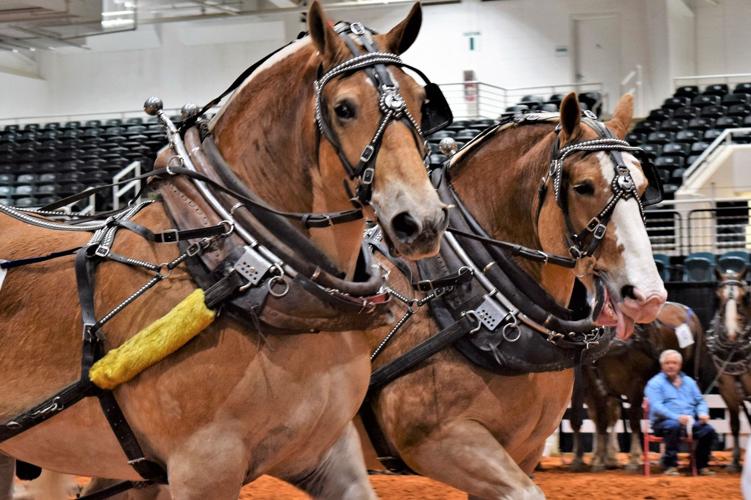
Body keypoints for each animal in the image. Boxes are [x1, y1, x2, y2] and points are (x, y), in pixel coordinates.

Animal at [568, 301, 703, 472]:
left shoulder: (636, 384)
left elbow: (632, 420)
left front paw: (633, 459)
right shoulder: (594, 384)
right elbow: (599, 420)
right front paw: (596, 460)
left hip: (691, 369)